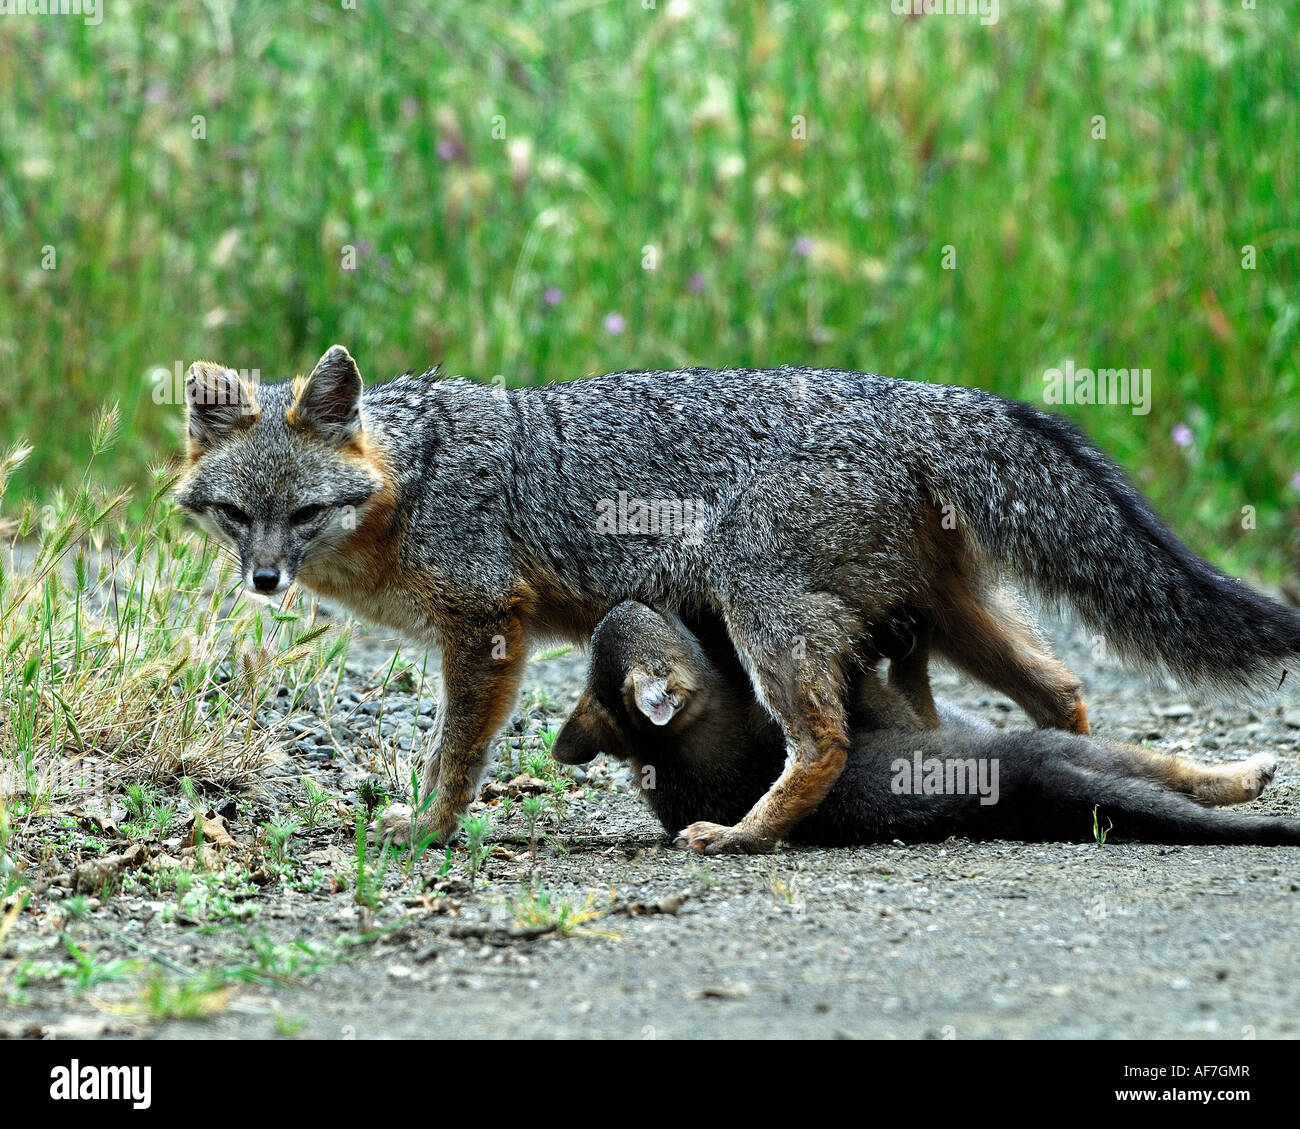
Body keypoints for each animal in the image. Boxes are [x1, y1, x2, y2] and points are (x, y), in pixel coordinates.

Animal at [553, 602, 1300, 847]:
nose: (631, 594)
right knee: (1170, 772)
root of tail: (1023, 786)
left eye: (641, 608)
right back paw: (1250, 774)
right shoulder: (898, 713)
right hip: (1051, 749)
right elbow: (894, 685)